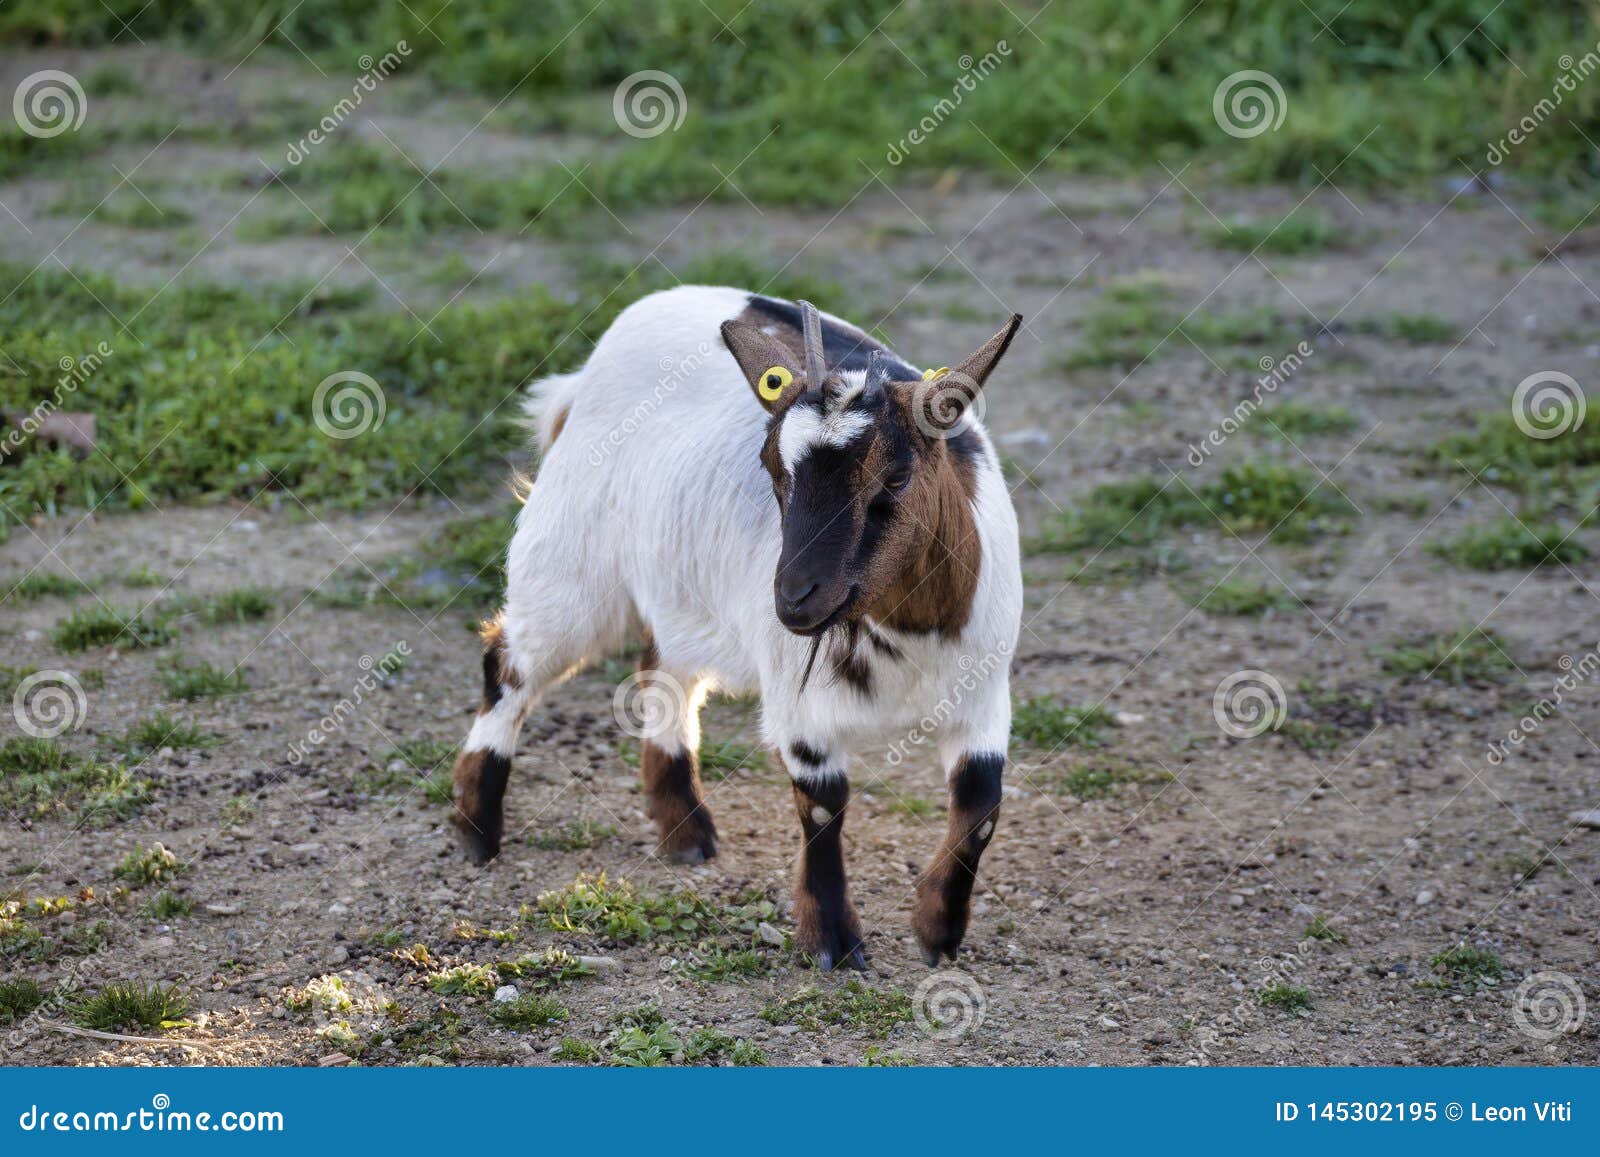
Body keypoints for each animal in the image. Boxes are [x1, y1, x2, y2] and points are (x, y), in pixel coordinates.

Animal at [450, 286, 1023, 969]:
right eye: (771, 466)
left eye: (897, 478)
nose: (794, 597)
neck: (907, 631)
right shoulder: (801, 708)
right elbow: (824, 807)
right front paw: (834, 942)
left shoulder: (983, 695)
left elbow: (982, 809)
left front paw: (939, 933)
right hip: (571, 568)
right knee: (510, 663)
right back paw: (477, 830)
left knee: (662, 675)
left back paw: (685, 830)